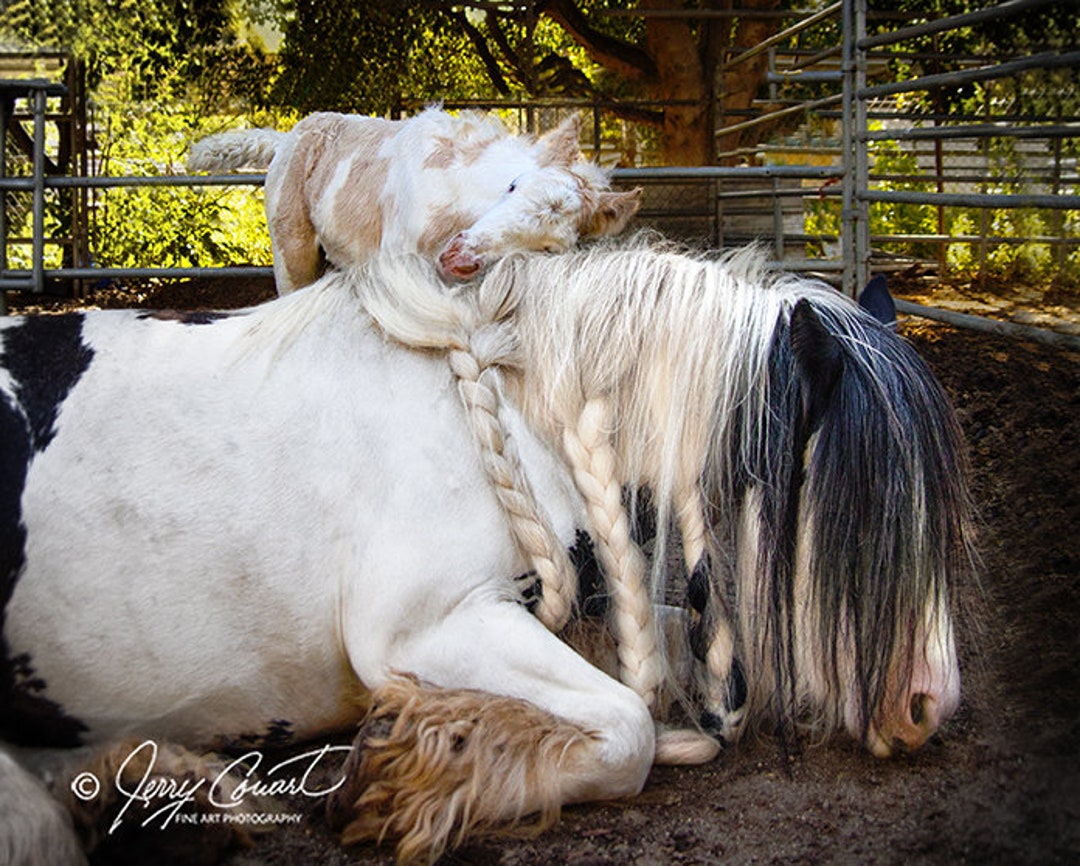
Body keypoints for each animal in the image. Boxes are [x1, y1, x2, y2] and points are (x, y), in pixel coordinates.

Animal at [0, 241, 973, 864]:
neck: (524, 409)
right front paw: (407, 786)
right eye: (855, 509)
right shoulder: (422, 629)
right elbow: (628, 733)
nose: (929, 703)